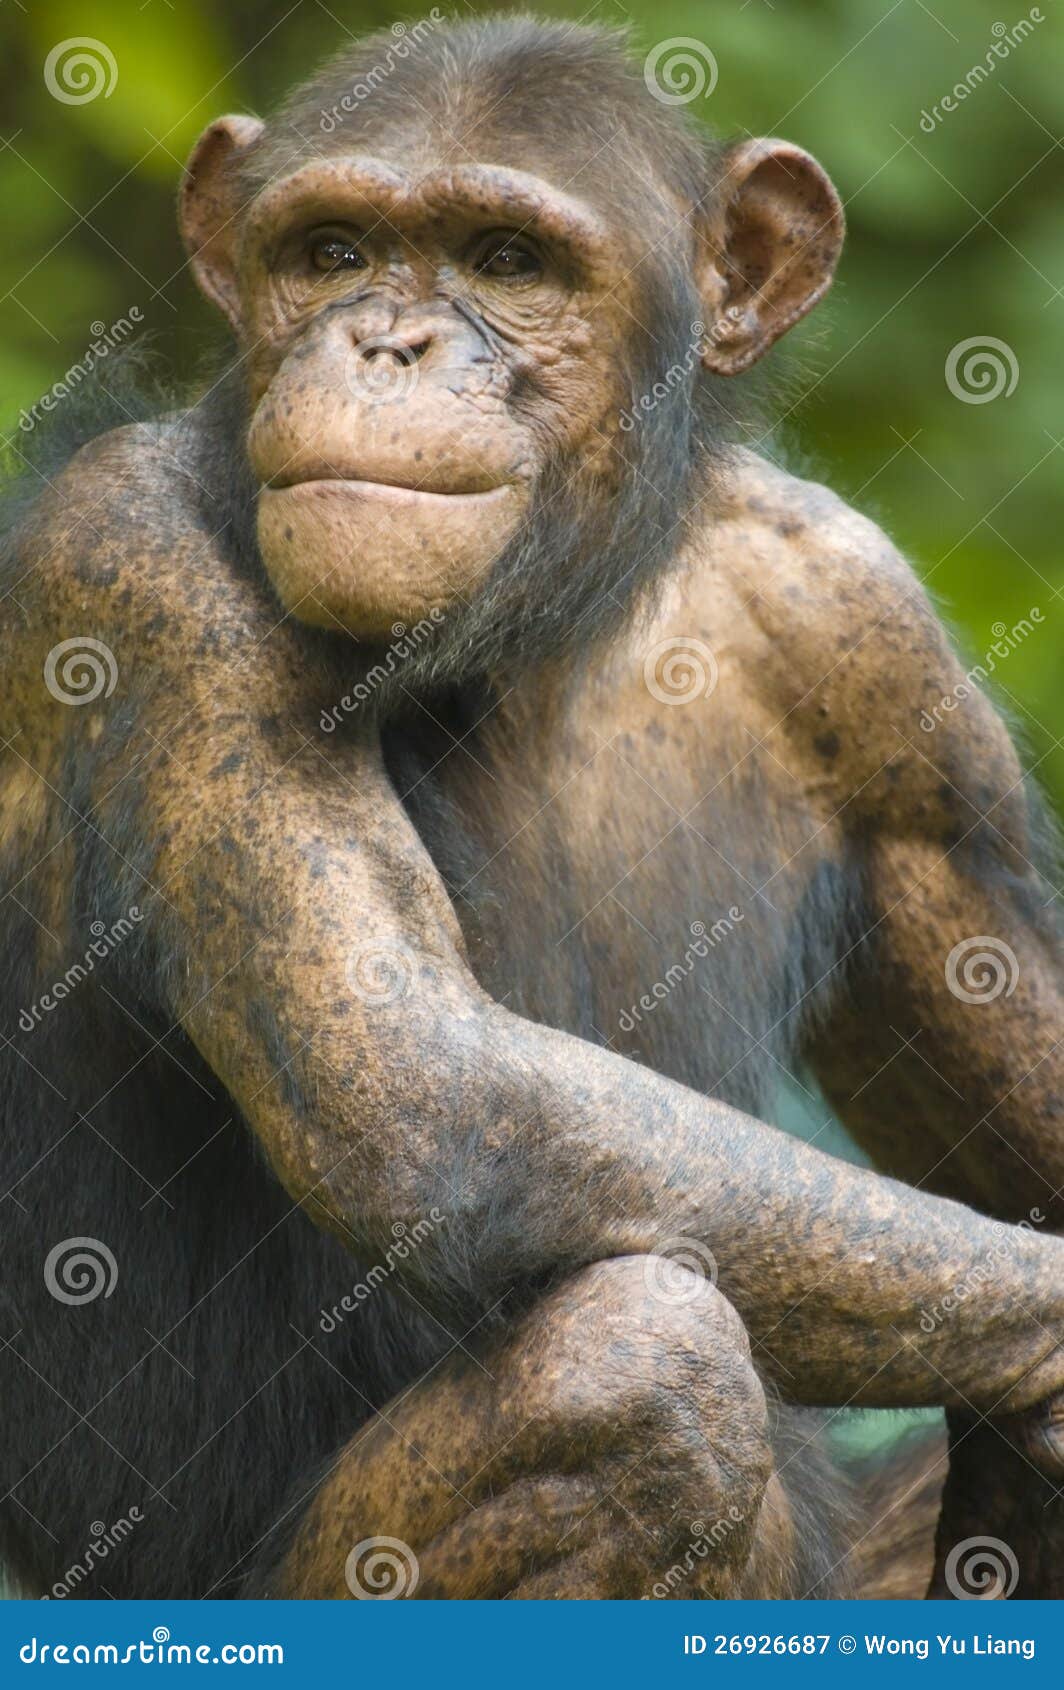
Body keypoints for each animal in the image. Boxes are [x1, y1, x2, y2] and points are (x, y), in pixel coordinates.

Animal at [1, 15, 1062, 1601]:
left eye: (509, 260)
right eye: (328, 251)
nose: (386, 343)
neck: (541, 627)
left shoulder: (879, 661)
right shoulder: (130, 575)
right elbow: (425, 1091)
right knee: (637, 1369)